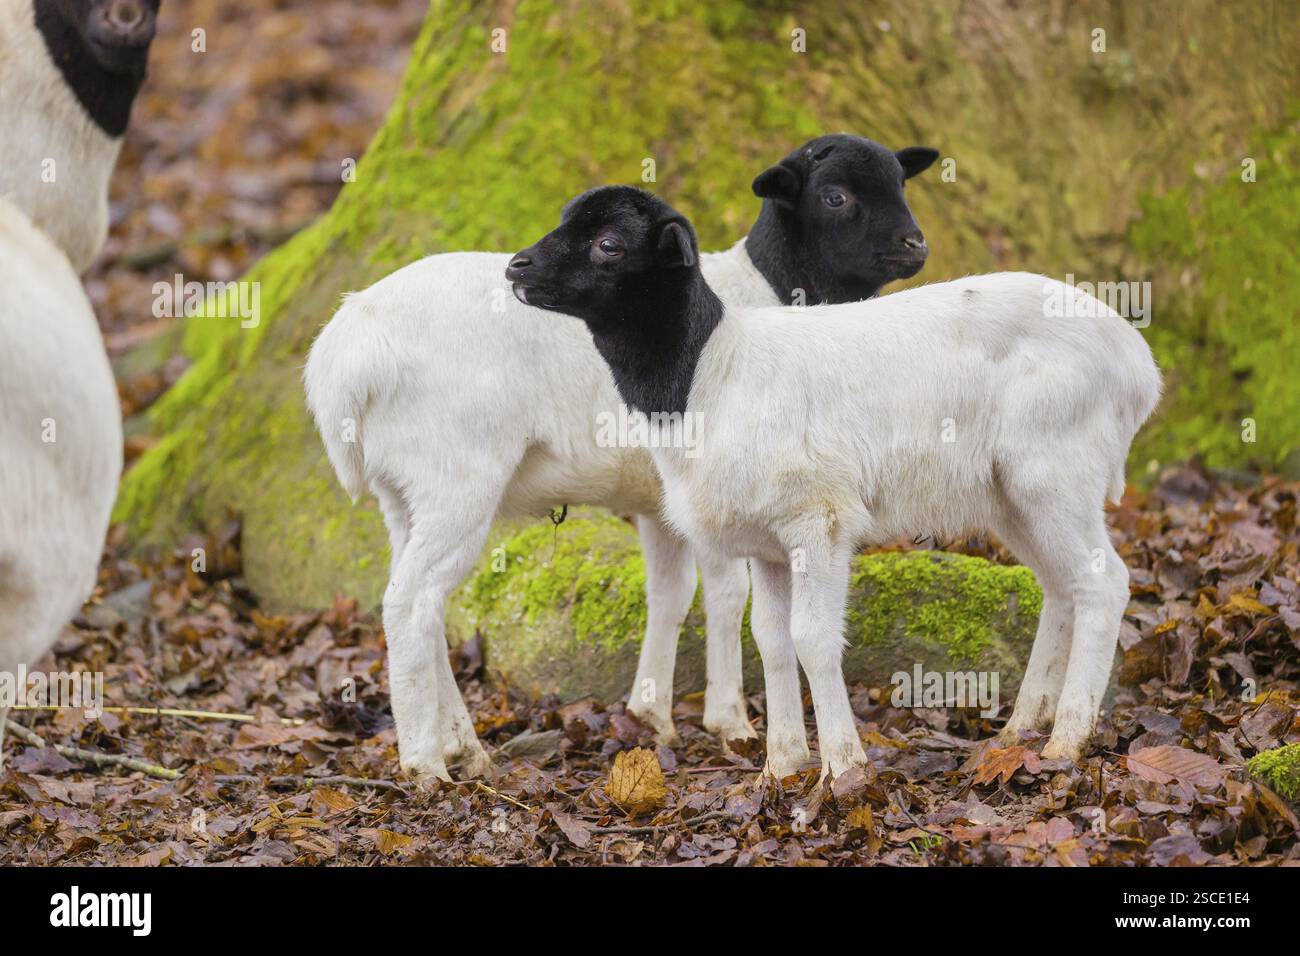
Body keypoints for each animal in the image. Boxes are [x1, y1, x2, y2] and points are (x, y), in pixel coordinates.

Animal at [304, 135, 939, 782]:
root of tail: (343, 356)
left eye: (901, 182)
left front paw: (650, 714)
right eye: (836, 197)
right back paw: (426, 765)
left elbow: (672, 594)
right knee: (410, 602)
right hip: (457, 476)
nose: (916, 246)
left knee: (416, 602)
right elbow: (726, 594)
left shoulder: (662, 501)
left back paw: (462, 745)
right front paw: (730, 721)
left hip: (401, 490)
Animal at [505, 186, 1163, 779]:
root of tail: (1140, 367)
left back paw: (1066, 741)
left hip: (1057, 469)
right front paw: (782, 766)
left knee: (1104, 583)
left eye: (609, 244)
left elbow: (813, 638)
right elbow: (770, 641)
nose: (516, 266)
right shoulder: (767, 540)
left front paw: (843, 766)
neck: (706, 374)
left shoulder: (816, 517)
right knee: (1061, 585)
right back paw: (1021, 726)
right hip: (1011, 495)